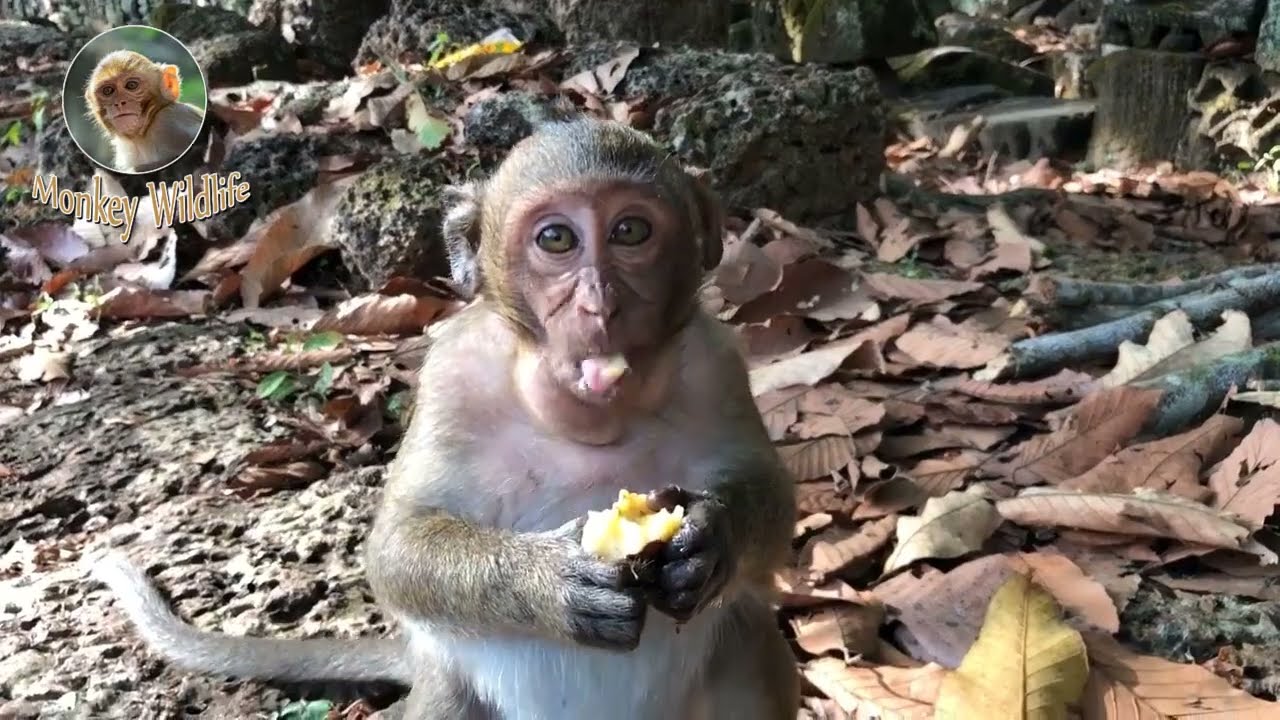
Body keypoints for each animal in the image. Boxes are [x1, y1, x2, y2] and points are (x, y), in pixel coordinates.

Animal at [91, 118, 800, 720]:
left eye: (631, 232)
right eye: (557, 239)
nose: (601, 306)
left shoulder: (715, 364)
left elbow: (773, 504)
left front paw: (710, 538)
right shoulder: (452, 378)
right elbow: (397, 548)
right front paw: (551, 581)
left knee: (748, 638)